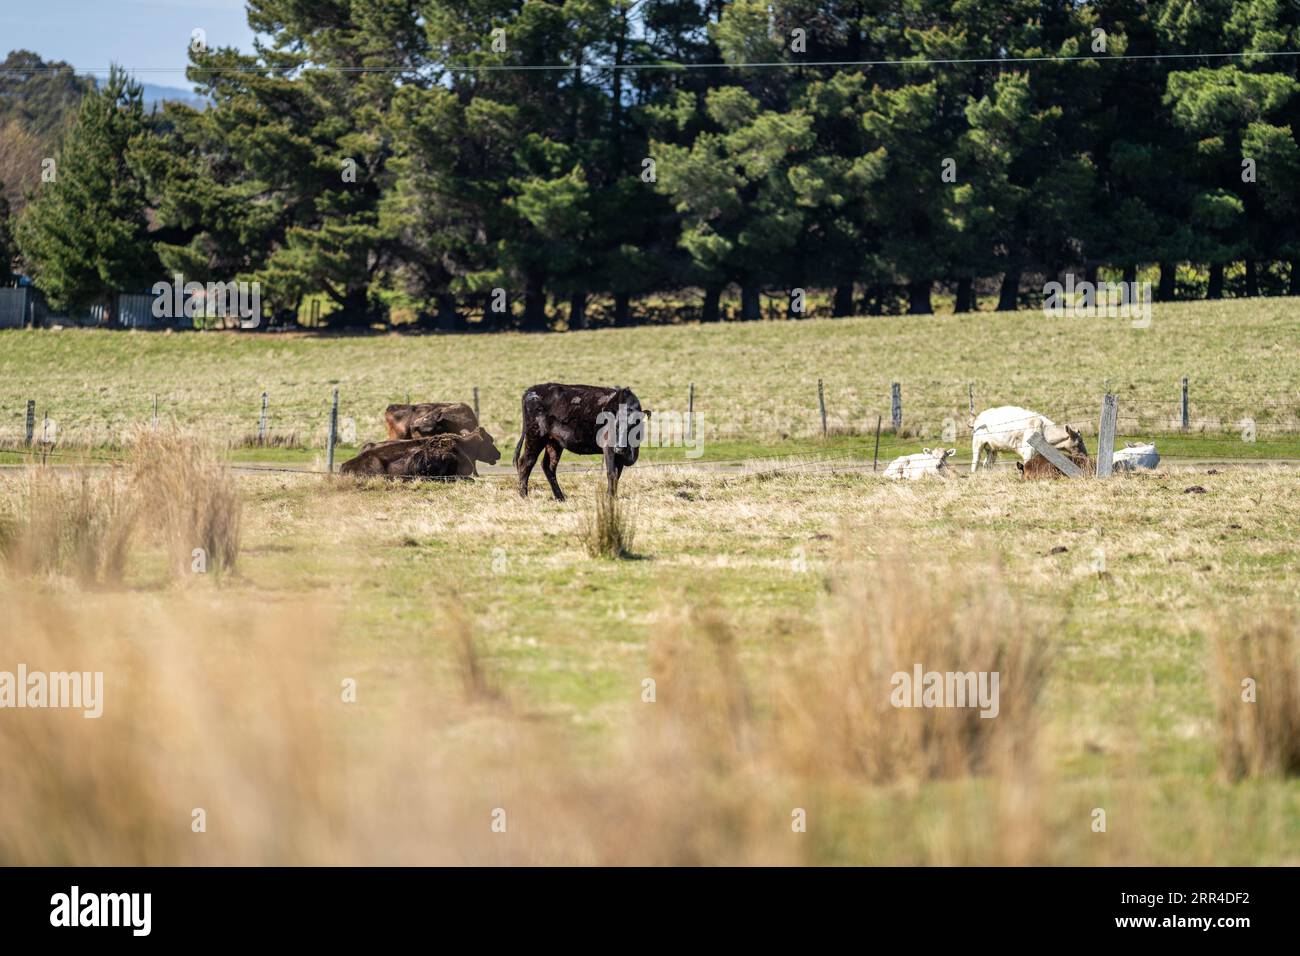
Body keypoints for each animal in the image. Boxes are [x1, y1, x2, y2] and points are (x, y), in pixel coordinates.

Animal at [514, 383, 645, 500]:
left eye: (634, 424)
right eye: (615, 425)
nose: (619, 448)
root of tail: (531, 390)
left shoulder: (620, 457)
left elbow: (617, 475)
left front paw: (614, 496)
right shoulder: (608, 448)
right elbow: (611, 473)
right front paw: (610, 498)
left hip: (553, 442)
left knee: (548, 466)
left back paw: (560, 497)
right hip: (535, 436)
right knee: (526, 463)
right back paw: (524, 496)